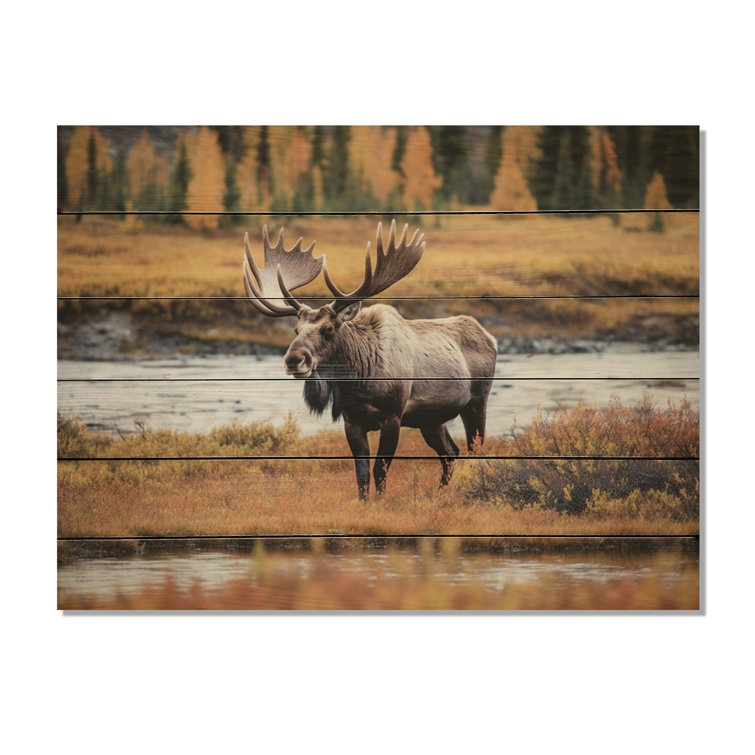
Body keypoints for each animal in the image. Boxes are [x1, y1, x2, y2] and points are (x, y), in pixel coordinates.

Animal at [243, 220, 498, 500]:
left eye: (328, 329)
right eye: (296, 329)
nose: (294, 359)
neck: (357, 382)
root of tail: (491, 338)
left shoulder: (392, 416)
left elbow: (379, 470)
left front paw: (380, 503)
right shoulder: (352, 421)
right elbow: (362, 474)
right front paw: (365, 503)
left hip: (476, 401)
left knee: (475, 451)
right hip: (431, 418)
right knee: (450, 453)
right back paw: (438, 494)